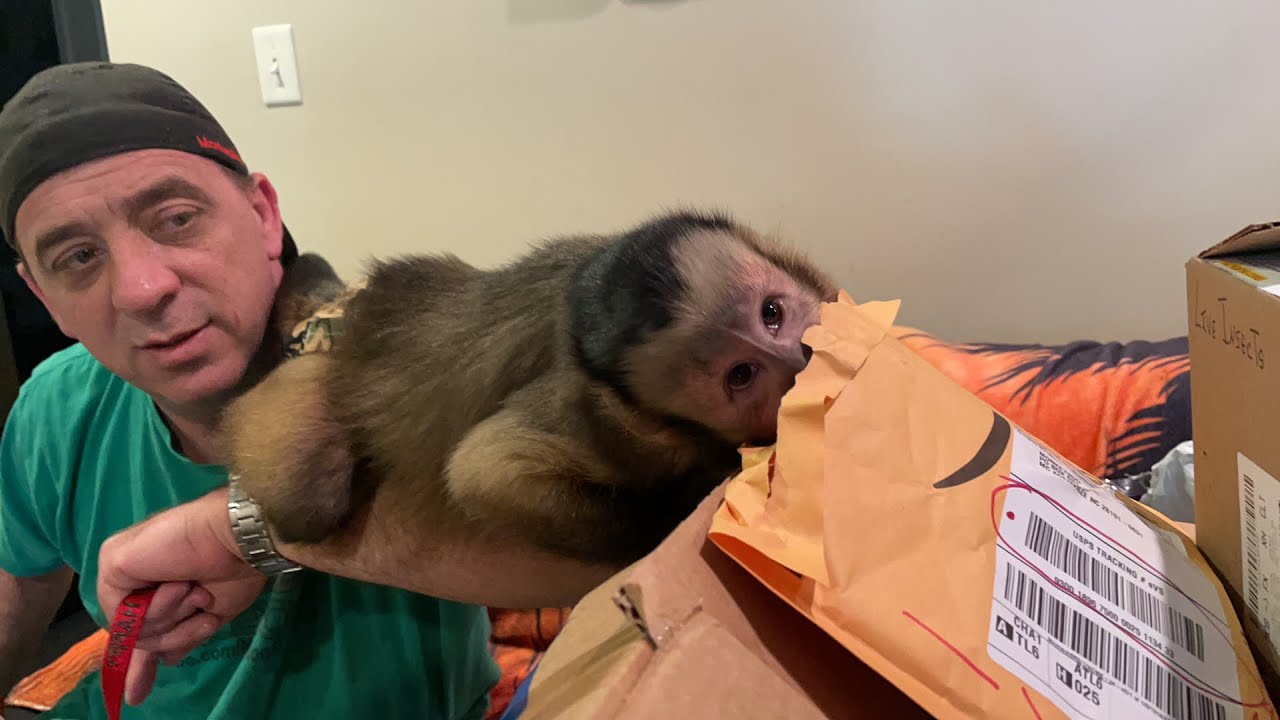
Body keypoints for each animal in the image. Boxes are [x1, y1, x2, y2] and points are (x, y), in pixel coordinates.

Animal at [221, 210, 836, 568]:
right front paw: (675, 511)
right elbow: (484, 471)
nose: (800, 356)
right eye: (741, 375)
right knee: (310, 501)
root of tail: (338, 318)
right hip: (300, 391)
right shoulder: (611, 429)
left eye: (772, 313)